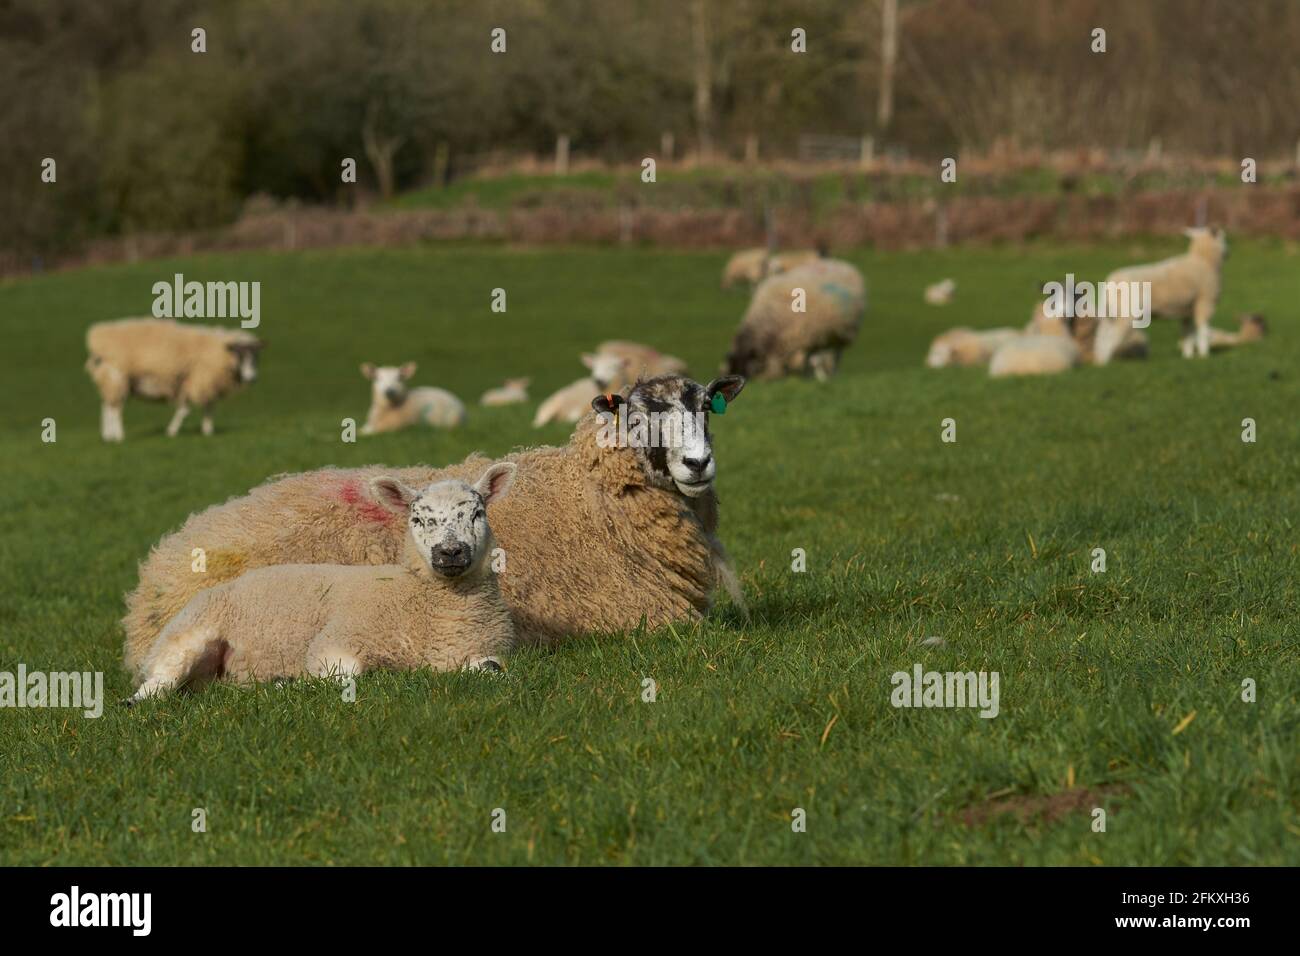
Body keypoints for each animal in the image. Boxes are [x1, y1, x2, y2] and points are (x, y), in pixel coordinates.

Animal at [85, 317, 263, 442]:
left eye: (255, 358)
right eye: (241, 355)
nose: (252, 378)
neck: (221, 351)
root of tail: (97, 340)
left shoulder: (200, 382)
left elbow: (207, 405)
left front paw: (207, 430)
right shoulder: (198, 378)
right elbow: (187, 409)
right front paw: (172, 431)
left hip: (111, 380)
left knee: (107, 405)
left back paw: (108, 435)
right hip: (117, 377)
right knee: (115, 408)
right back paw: (119, 436)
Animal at [130, 464, 517, 701]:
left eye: (477, 513)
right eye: (418, 519)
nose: (450, 552)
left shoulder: (479, 653)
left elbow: (494, 670)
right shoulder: (337, 639)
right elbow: (346, 673)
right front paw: (294, 680)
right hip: (186, 638)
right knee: (154, 688)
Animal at [723, 258, 865, 381]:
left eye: (745, 368)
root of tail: (840, 263)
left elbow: (810, 359)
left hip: (843, 331)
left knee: (837, 353)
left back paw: (832, 374)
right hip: (824, 335)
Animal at [1094, 227, 1228, 364]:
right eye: (1222, 238)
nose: (1228, 253)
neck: (1203, 260)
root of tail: (1111, 281)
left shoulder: (1187, 310)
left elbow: (1187, 335)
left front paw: (1188, 356)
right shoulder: (1204, 302)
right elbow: (1203, 331)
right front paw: (1204, 355)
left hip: (1111, 314)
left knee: (1102, 336)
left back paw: (1099, 360)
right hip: (1126, 313)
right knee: (1111, 337)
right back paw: (1104, 363)